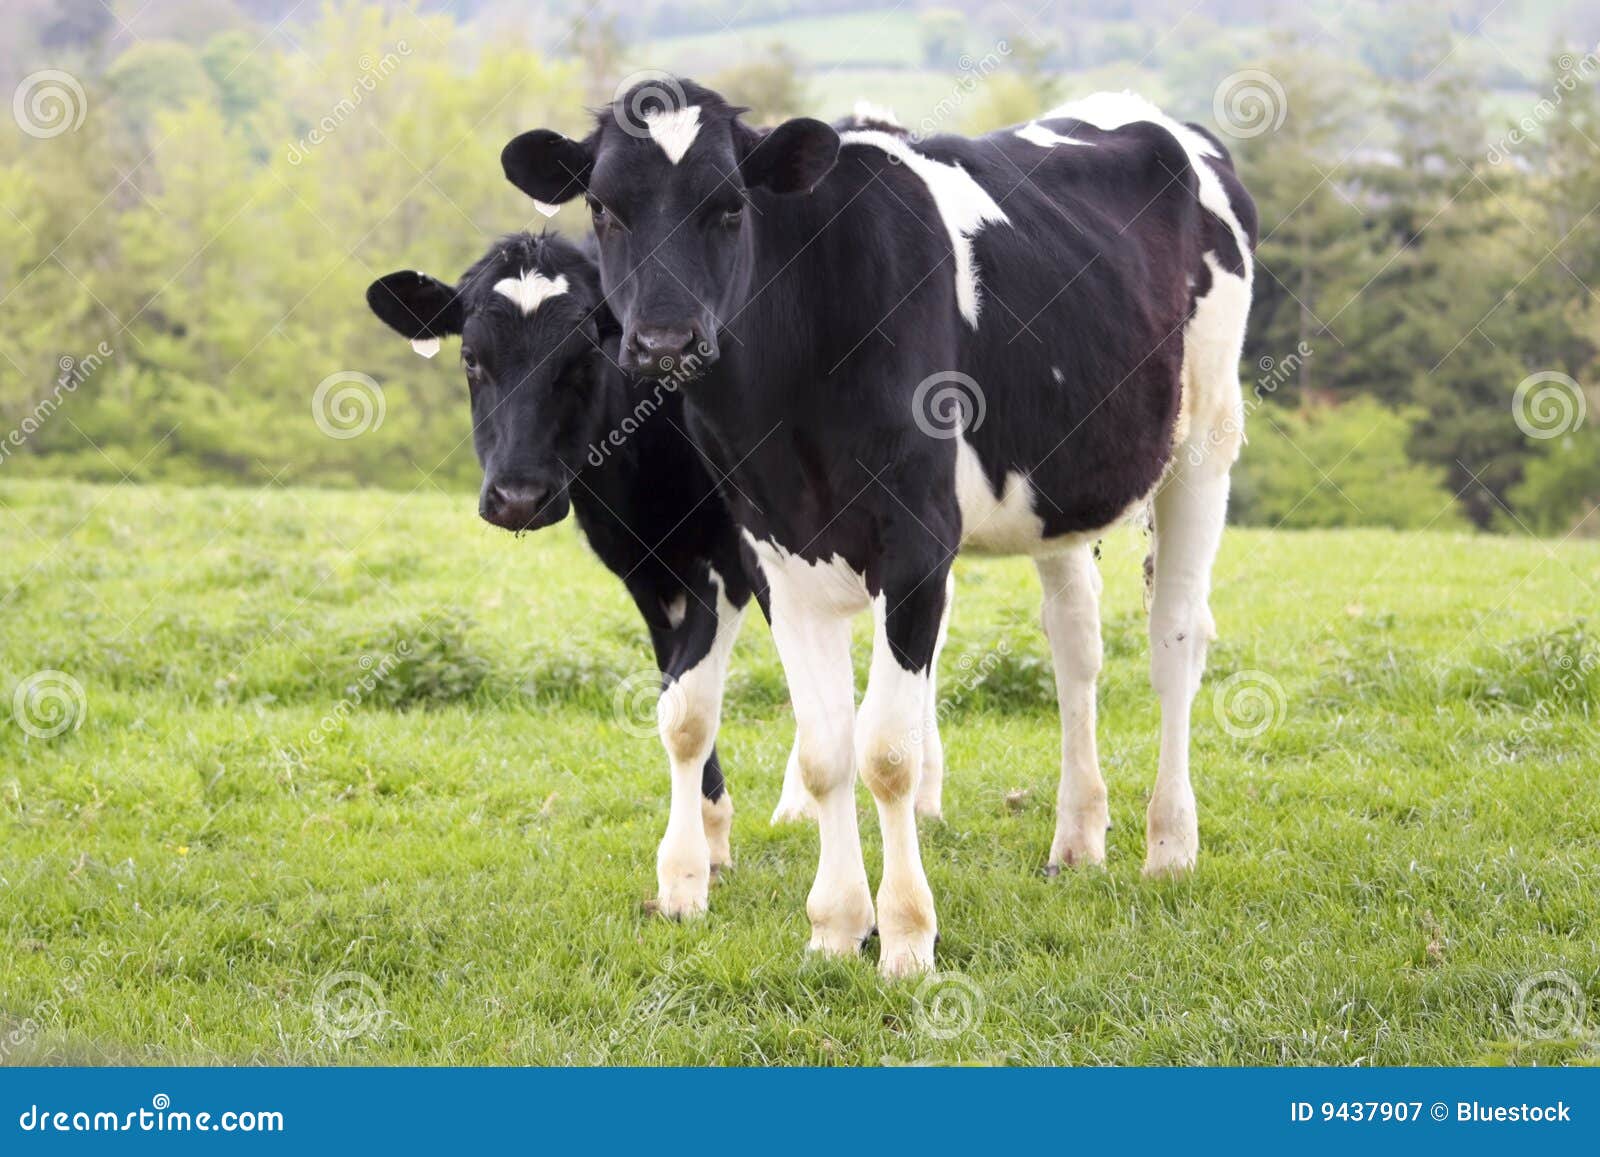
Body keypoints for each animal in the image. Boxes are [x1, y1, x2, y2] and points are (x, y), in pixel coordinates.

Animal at [364, 231, 817, 920]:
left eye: (582, 359)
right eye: (470, 358)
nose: (518, 497)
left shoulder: (728, 559)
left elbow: (688, 709)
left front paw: (681, 877)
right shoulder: (645, 572)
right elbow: (674, 689)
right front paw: (711, 842)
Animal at [501, 80, 1258, 976]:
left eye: (730, 206)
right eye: (605, 207)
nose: (662, 339)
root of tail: (1147, 111)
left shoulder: (917, 545)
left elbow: (888, 752)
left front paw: (905, 935)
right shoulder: (773, 552)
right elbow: (825, 750)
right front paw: (835, 925)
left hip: (1206, 439)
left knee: (1176, 639)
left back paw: (1169, 843)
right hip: (1060, 494)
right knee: (1076, 644)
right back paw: (1076, 837)